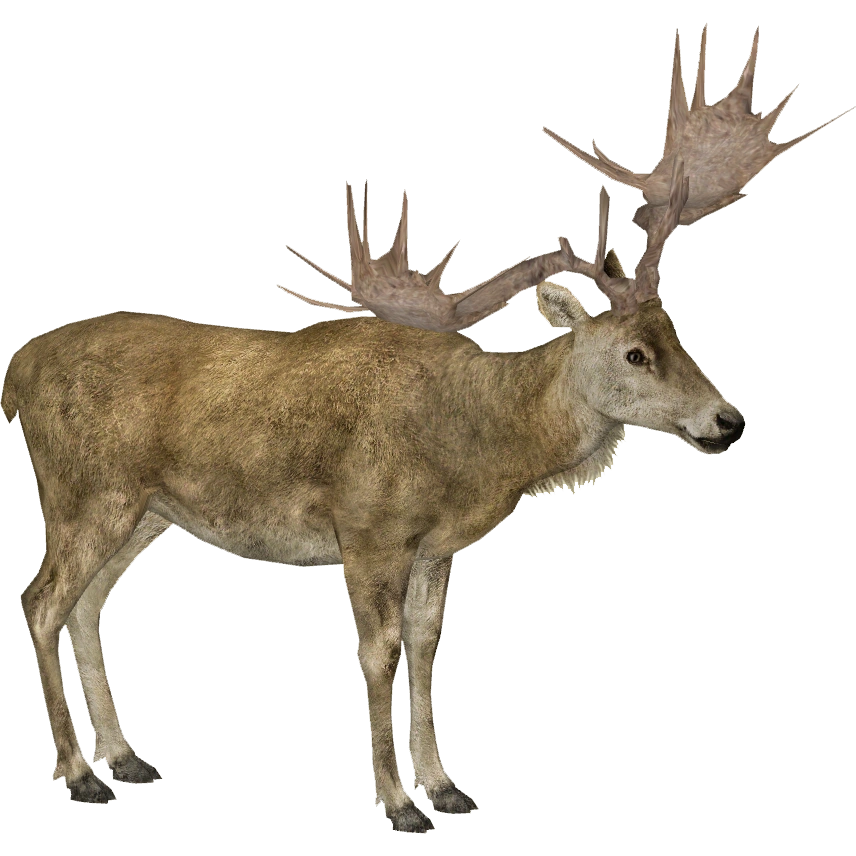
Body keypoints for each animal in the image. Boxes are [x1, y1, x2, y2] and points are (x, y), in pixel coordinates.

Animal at [0, 23, 849, 835]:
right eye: (636, 353)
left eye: (680, 332)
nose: (729, 420)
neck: (473, 451)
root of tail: (16, 373)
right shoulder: (367, 529)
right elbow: (378, 657)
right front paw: (397, 803)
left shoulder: (438, 548)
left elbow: (428, 651)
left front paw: (446, 786)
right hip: (87, 490)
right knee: (39, 600)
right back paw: (77, 775)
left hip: (144, 512)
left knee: (88, 606)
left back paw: (127, 758)